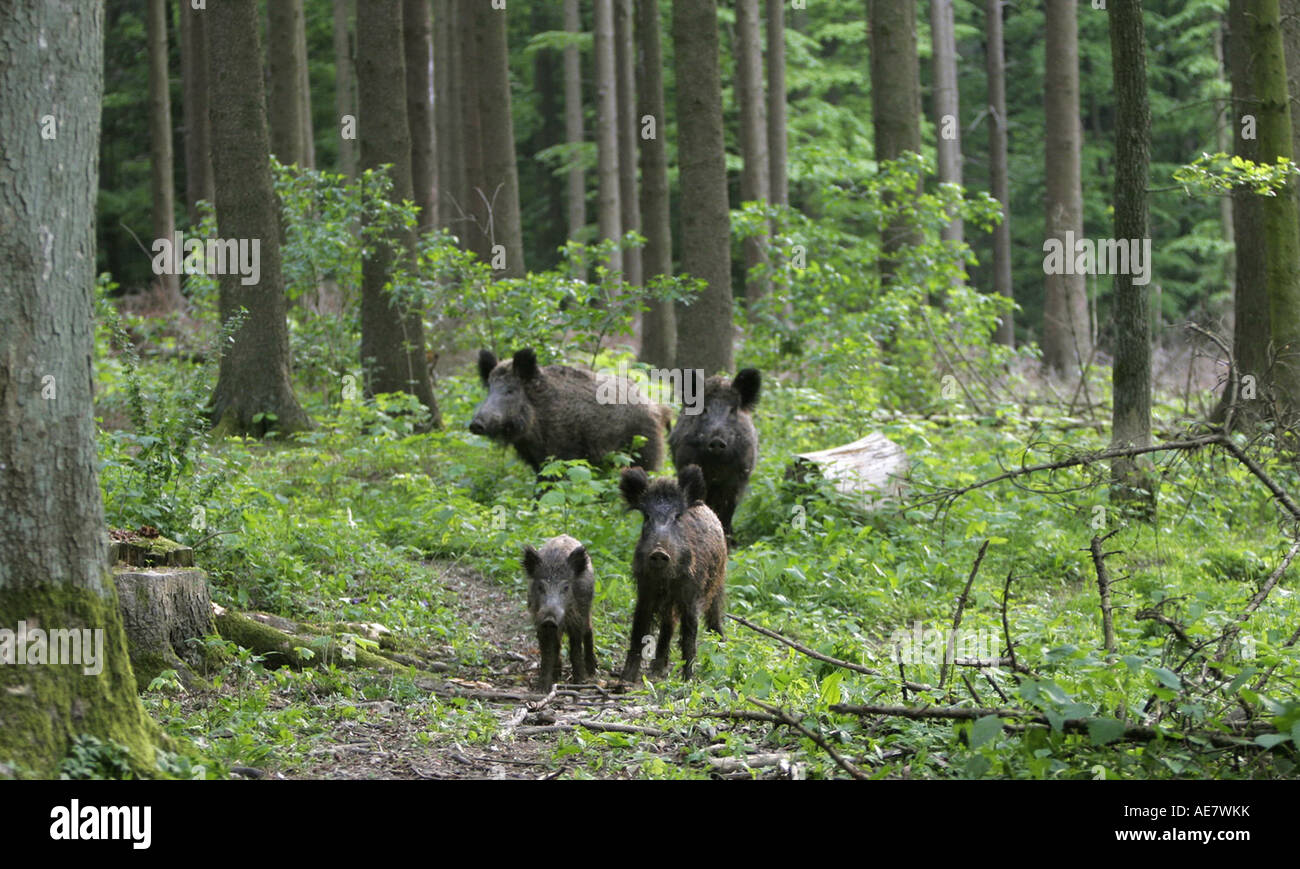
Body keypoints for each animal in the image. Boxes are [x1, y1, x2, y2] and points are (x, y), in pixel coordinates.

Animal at [470, 348, 672, 473]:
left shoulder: (564, 454)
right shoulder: (537, 460)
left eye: (510, 390)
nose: (475, 424)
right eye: (490, 389)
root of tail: (659, 409)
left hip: (645, 451)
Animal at [523, 535, 597, 691]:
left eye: (566, 587)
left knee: (589, 630)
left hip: (586, 609)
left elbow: (575, 649)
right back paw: (557, 676)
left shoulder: (576, 619)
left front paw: (579, 683)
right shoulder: (539, 621)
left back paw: (592, 670)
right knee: (557, 646)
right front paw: (542, 688)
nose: (549, 619)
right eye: (540, 587)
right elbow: (547, 653)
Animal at [618, 465, 728, 681]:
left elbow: (689, 635)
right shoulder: (645, 592)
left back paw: (721, 650)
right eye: (647, 517)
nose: (659, 552)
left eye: (677, 517)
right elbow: (638, 632)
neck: (665, 580)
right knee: (668, 625)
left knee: (713, 618)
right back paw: (657, 669)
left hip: (717, 584)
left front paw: (688, 679)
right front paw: (625, 679)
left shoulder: (691, 596)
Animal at [668, 368, 761, 542]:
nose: (717, 441)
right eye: (704, 409)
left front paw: (729, 540)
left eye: (732, 410)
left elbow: (728, 508)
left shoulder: (737, 478)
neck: (717, 466)